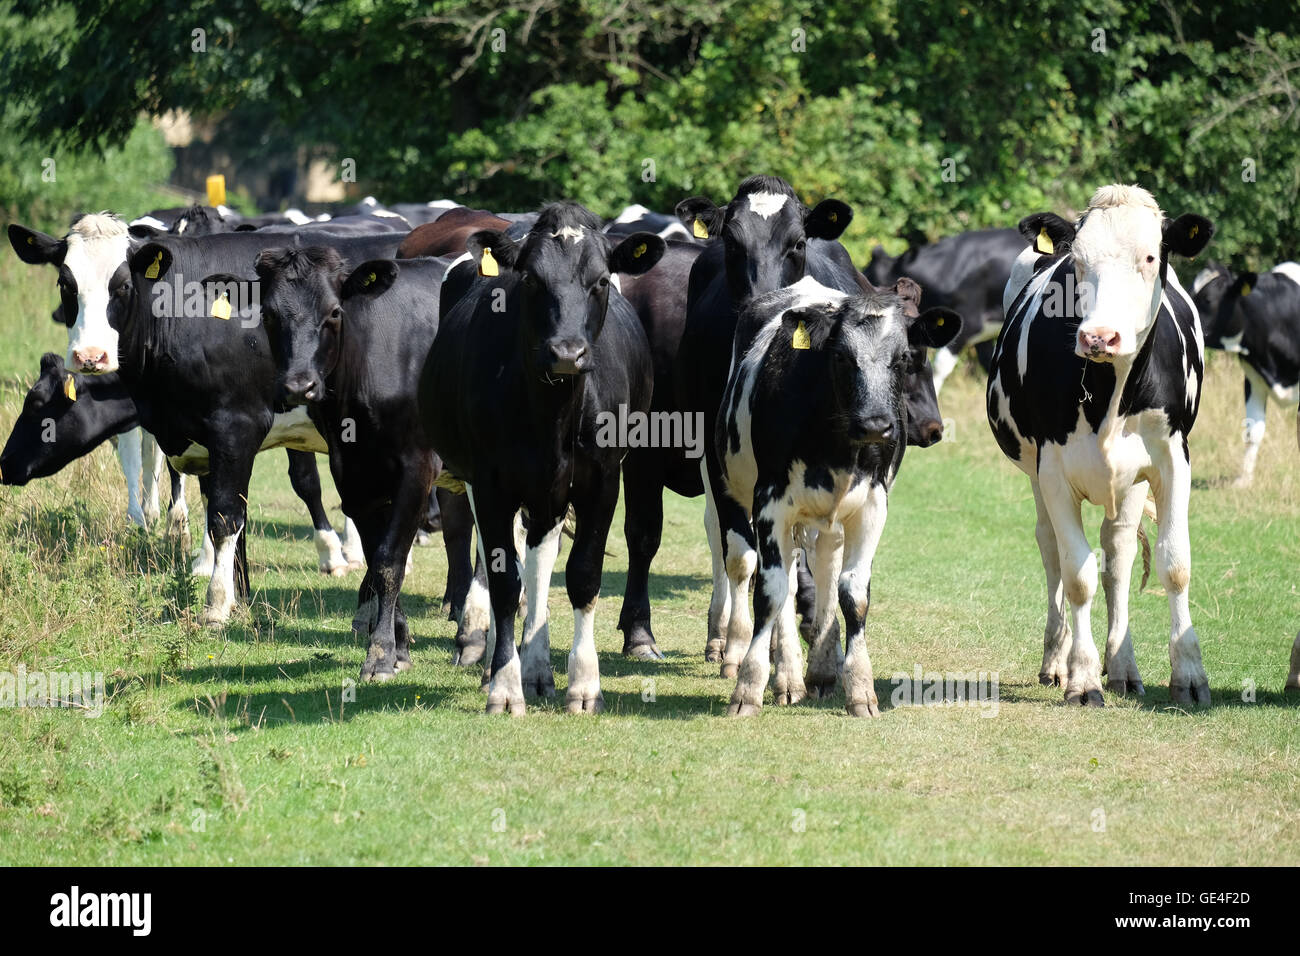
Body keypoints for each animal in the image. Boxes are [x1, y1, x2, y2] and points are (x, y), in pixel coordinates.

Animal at [243, 250, 473, 681]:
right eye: (268, 313)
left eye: (334, 312)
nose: (299, 386)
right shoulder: (353, 476)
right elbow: (375, 554)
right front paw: (398, 646)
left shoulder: (416, 469)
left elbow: (390, 560)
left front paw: (379, 654)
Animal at [420, 202, 663, 714]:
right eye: (531, 279)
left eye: (601, 280)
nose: (567, 351)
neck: (554, 412)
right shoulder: (490, 483)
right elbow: (503, 580)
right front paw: (504, 686)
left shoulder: (602, 481)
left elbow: (582, 575)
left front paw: (584, 684)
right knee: (503, 564)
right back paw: (492, 652)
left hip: (551, 494)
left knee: (540, 563)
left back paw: (537, 665)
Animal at [715, 277, 959, 715]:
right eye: (843, 357)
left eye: (903, 358)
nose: (877, 424)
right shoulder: (769, 504)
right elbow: (771, 591)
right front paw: (748, 687)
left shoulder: (873, 505)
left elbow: (853, 593)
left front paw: (860, 686)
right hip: (730, 489)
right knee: (750, 567)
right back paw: (772, 668)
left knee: (825, 570)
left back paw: (820, 669)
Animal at [987, 184, 1214, 706]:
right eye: (1078, 261)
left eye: (1150, 256)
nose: (1099, 336)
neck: (1113, 391)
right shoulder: (1052, 469)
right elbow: (1077, 575)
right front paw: (1084, 677)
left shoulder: (1173, 459)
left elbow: (1174, 564)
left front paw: (1189, 675)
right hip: (1033, 469)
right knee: (1052, 547)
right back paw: (1058, 660)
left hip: (1132, 478)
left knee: (1120, 553)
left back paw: (1124, 666)